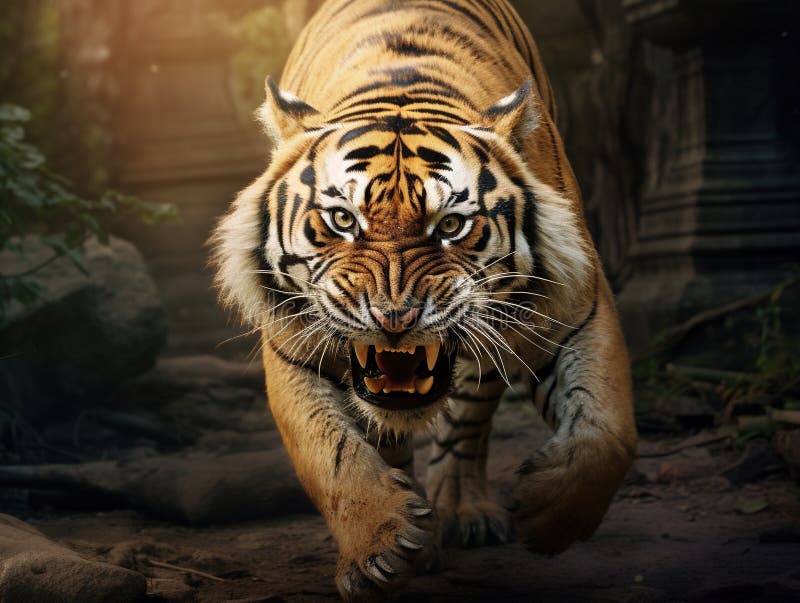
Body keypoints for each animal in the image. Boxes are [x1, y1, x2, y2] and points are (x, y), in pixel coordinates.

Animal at [212, 0, 637, 599]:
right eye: (342, 219)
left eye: (452, 225)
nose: (394, 319)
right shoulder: (293, 345)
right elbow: (326, 452)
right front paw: (380, 549)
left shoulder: (579, 310)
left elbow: (606, 431)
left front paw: (550, 515)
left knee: (469, 416)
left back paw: (464, 512)